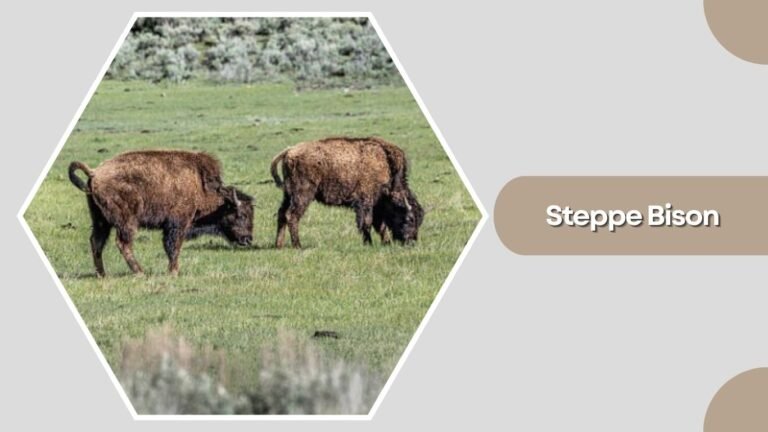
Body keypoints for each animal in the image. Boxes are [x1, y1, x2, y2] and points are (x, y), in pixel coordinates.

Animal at [68, 150, 253, 276]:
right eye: (241, 215)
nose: (248, 239)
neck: (201, 187)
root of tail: (95, 172)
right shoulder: (178, 224)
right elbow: (174, 247)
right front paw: (174, 271)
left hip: (100, 220)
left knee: (96, 242)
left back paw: (102, 274)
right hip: (126, 222)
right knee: (122, 243)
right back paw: (140, 272)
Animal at [270, 137, 424, 248]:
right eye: (409, 218)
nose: (411, 242)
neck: (385, 163)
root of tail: (289, 151)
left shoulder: (376, 206)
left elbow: (380, 225)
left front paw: (385, 242)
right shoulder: (365, 202)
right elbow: (367, 223)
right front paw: (368, 243)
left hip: (288, 195)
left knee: (282, 214)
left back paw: (279, 245)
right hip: (303, 195)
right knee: (292, 216)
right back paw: (298, 245)